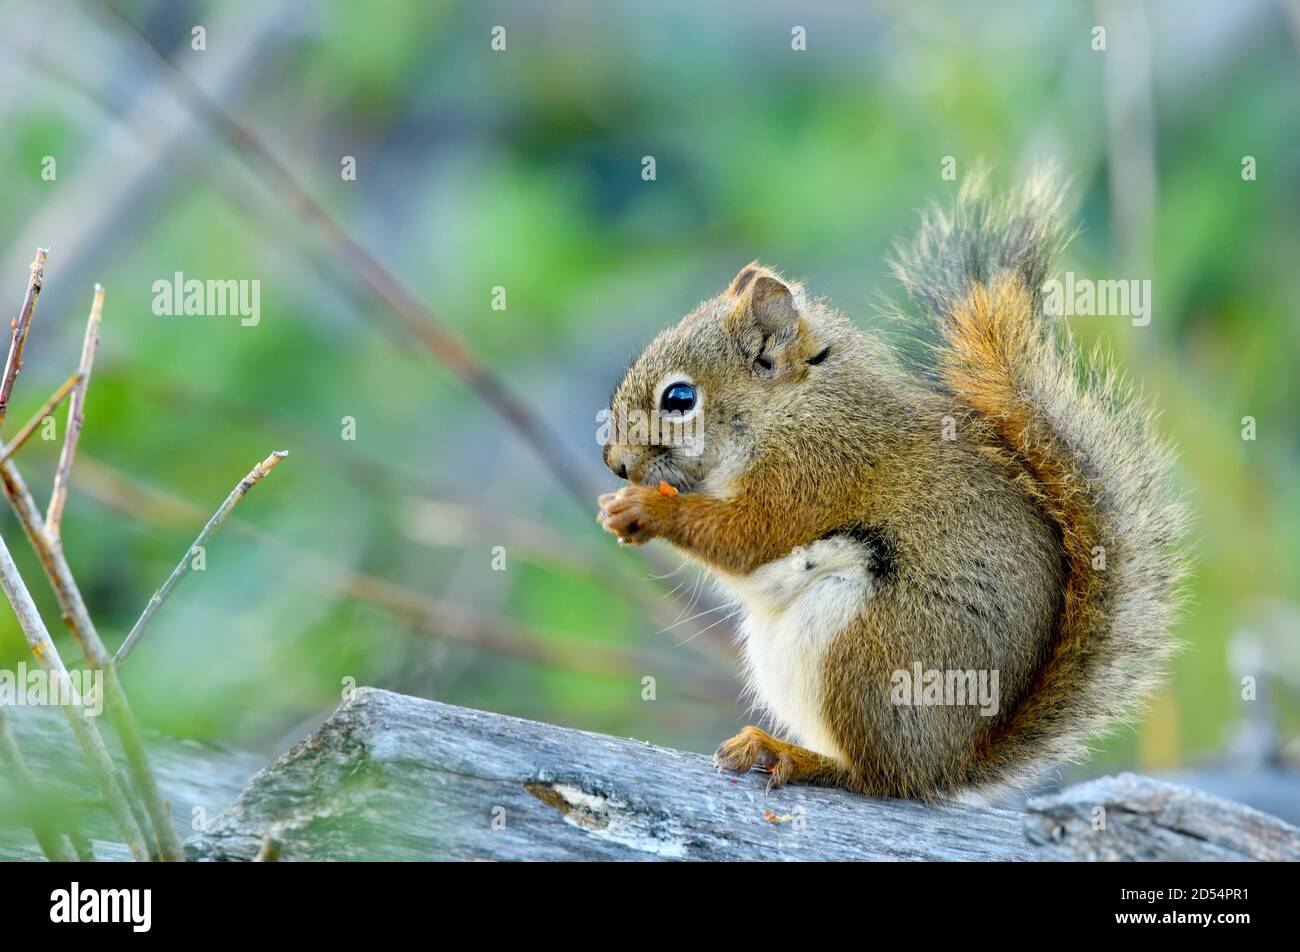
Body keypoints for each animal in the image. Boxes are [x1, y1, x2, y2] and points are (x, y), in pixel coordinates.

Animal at [597, 169, 1188, 801]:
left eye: (679, 398)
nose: (615, 463)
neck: (788, 408)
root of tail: (949, 763)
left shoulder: (818, 465)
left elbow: (750, 536)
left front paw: (645, 511)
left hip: (865, 653)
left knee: (876, 776)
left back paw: (791, 755)